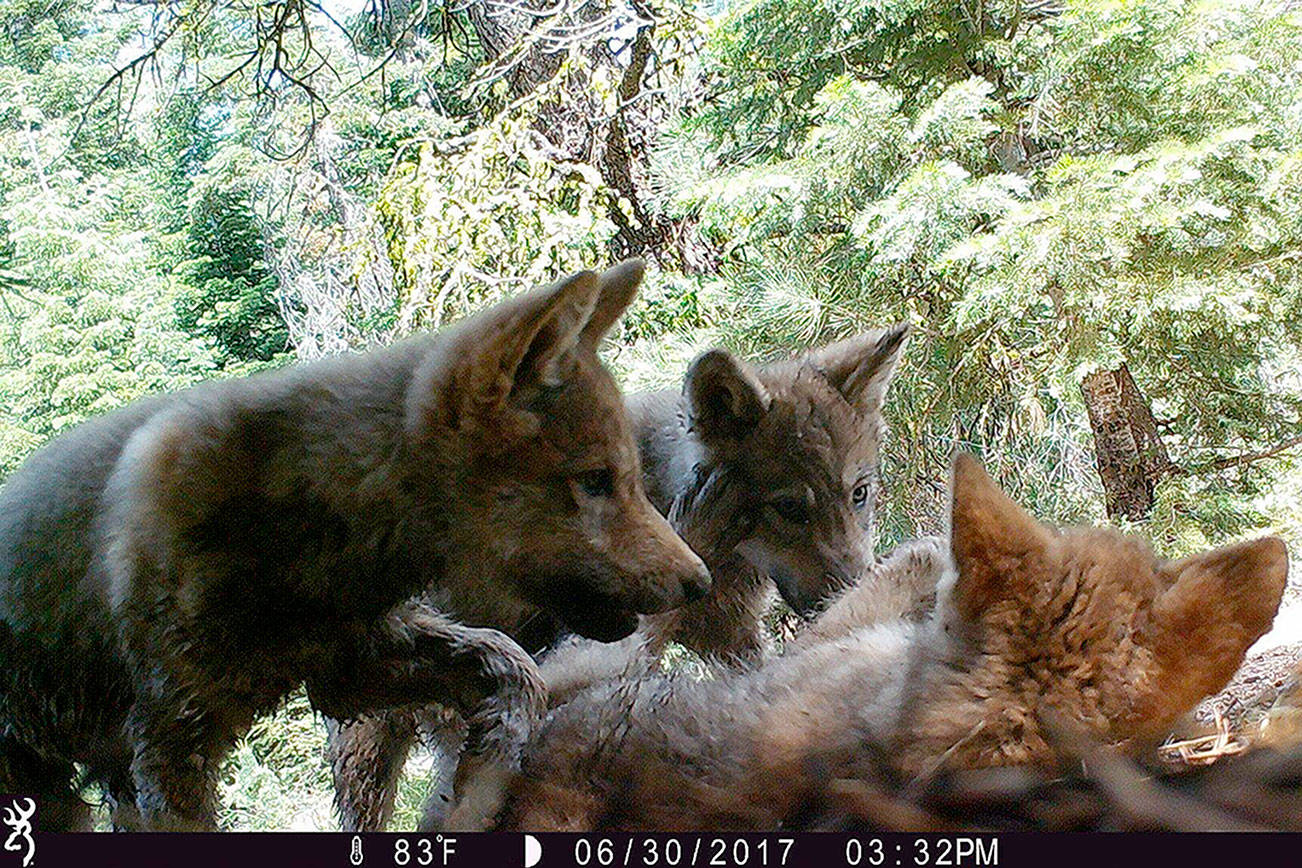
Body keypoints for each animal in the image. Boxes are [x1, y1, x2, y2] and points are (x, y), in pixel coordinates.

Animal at [0, 260, 711, 831]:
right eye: (595, 482)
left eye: (630, 479)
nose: (700, 582)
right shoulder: (170, 742)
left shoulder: (352, 667)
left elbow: (514, 673)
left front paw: (474, 788)